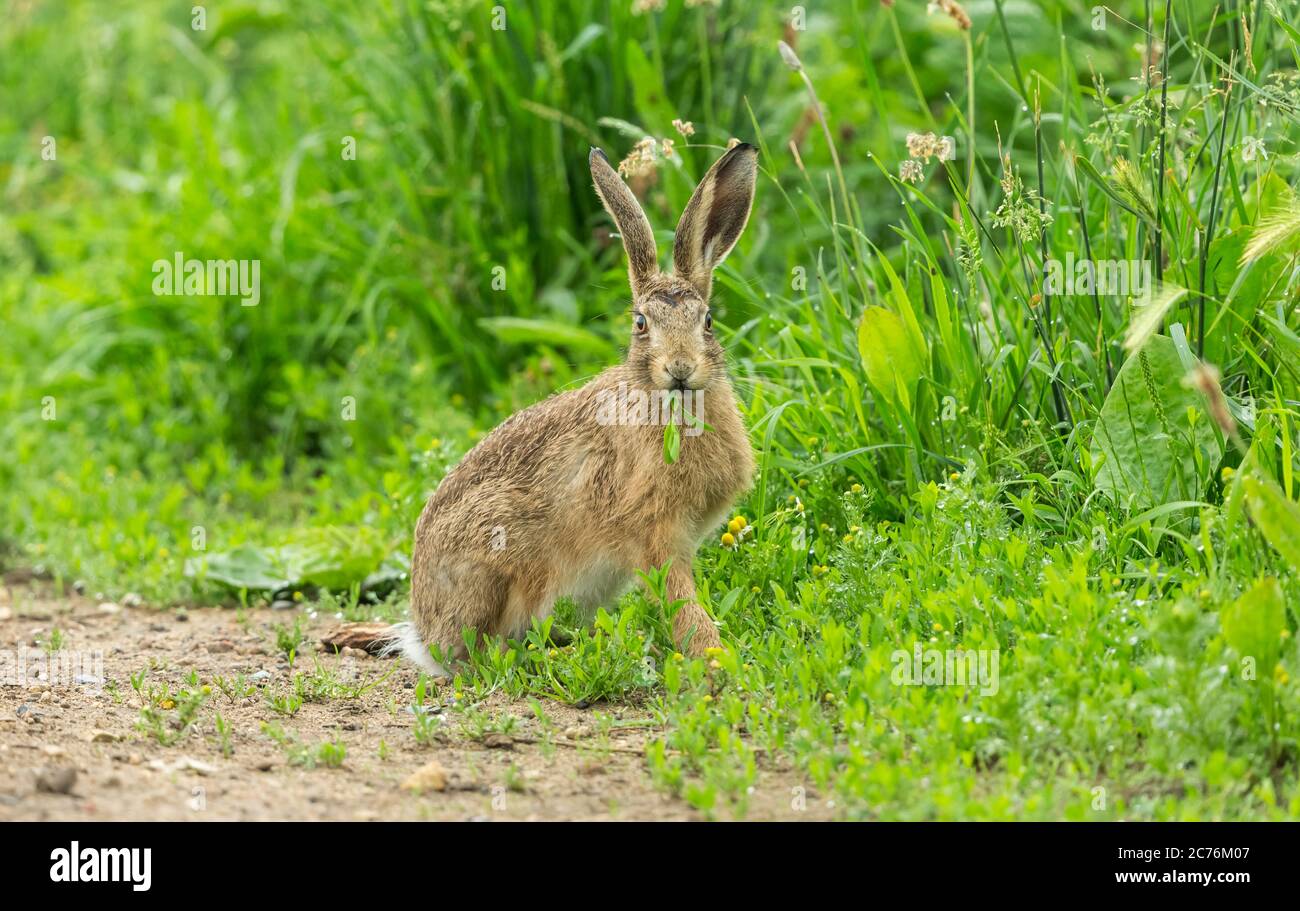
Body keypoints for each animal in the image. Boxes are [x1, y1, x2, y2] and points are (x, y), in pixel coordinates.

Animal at [385, 142, 759, 676]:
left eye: (707, 321)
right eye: (641, 324)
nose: (680, 369)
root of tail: (423, 634)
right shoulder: (653, 534)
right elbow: (680, 600)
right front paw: (714, 657)